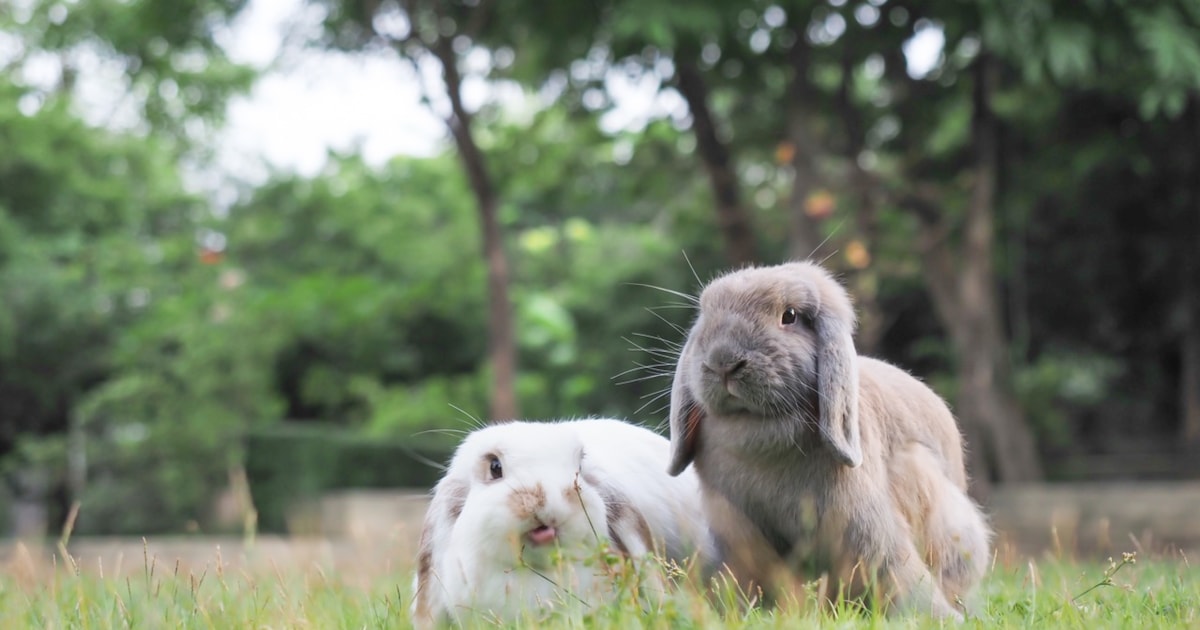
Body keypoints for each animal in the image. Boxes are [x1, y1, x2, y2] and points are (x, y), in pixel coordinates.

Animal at [665, 261, 992, 621]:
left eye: (790, 316)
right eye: (706, 313)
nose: (723, 361)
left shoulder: (866, 527)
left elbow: (897, 570)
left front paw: (937, 618)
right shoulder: (740, 529)